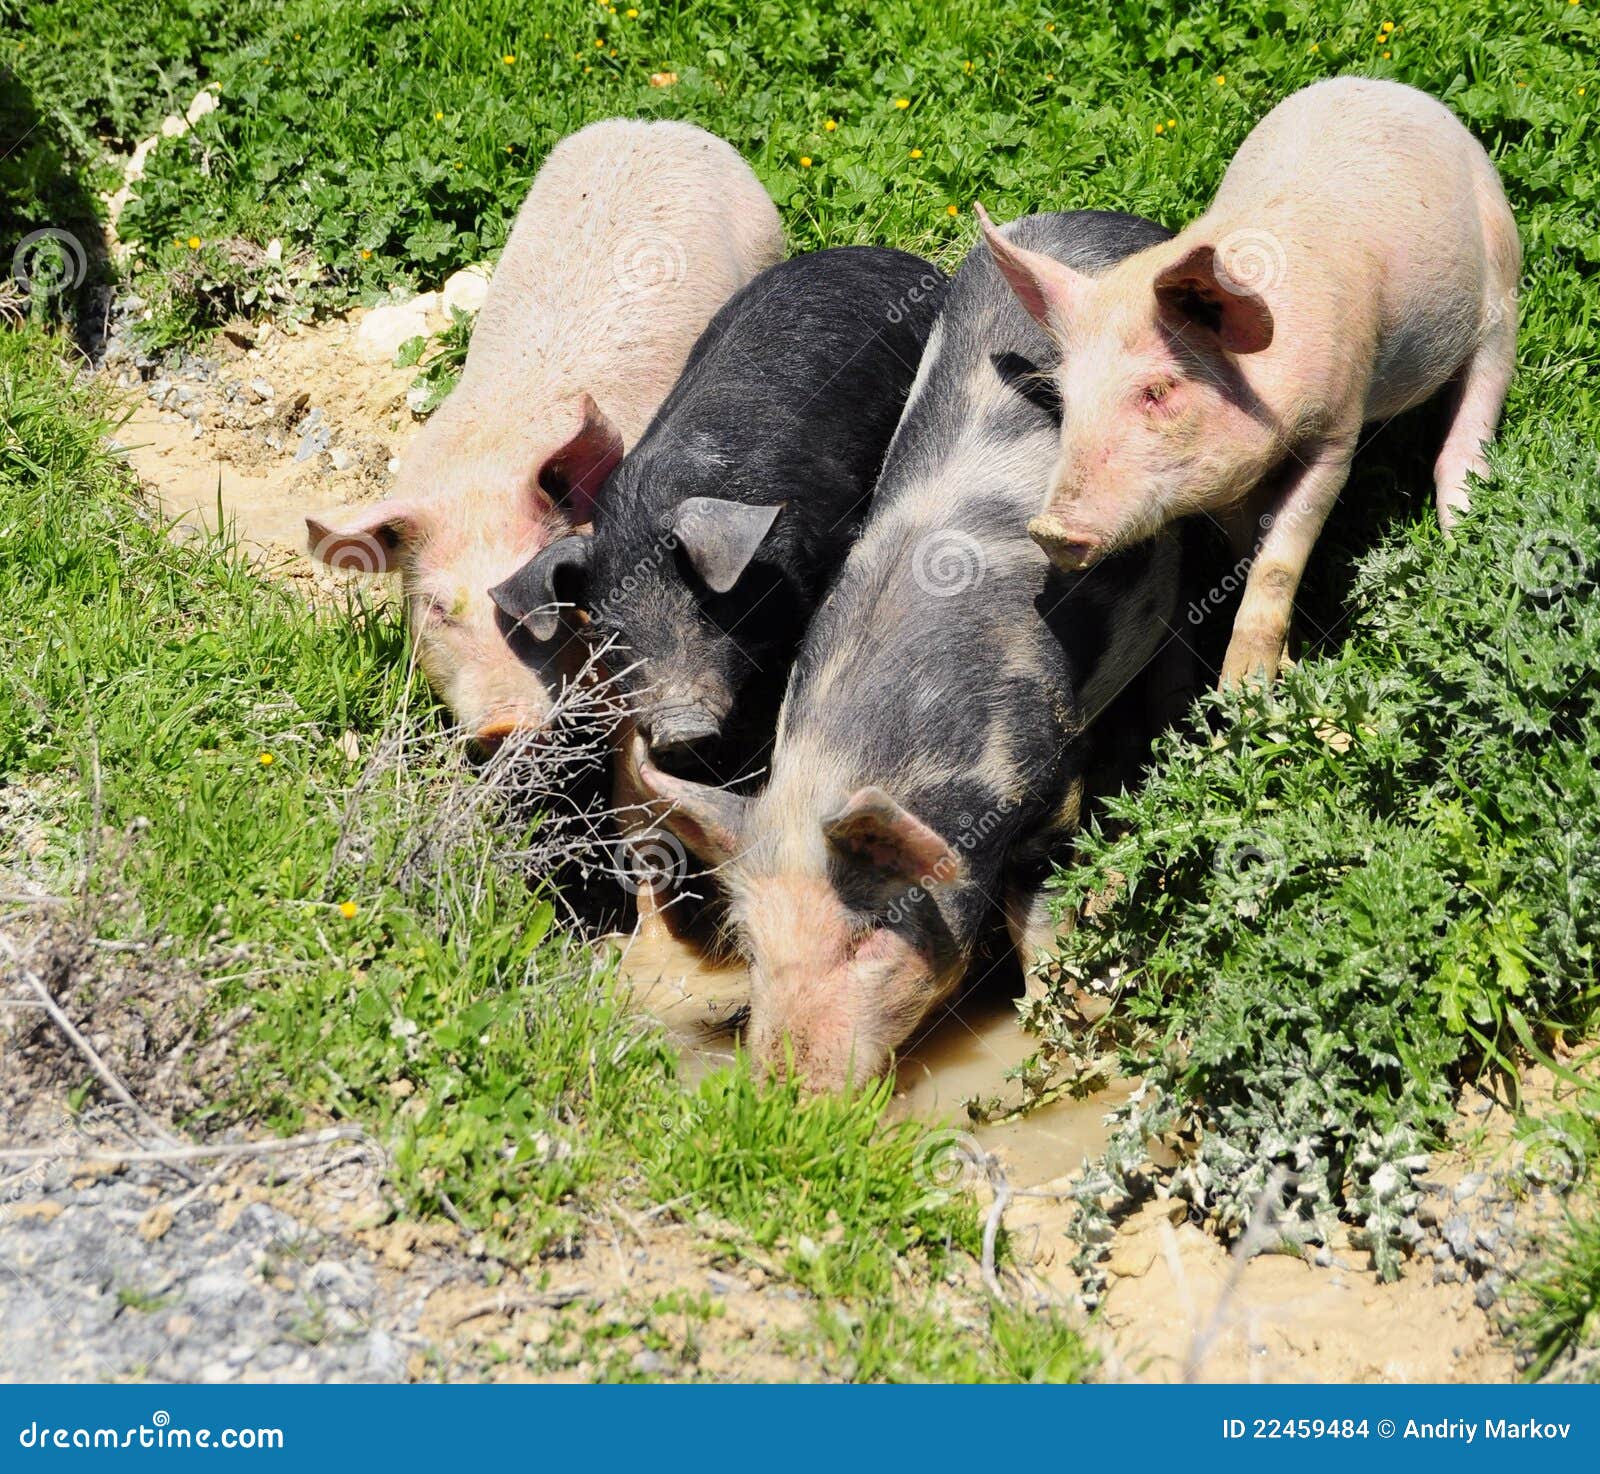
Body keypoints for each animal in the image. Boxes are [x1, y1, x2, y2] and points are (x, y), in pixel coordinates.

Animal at [630, 211, 1182, 1089]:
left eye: (866, 935)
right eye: (753, 948)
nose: (784, 1094)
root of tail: (1093, 221)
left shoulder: (1052, 784)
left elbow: (1040, 918)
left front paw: (1064, 1036)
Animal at [977, 77, 1520, 686]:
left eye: (1158, 391)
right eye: (1068, 401)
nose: (1048, 528)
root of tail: (1393, 87)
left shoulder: (1340, 424)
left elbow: (1279, 559)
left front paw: (1245, 689)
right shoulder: (1223, 477)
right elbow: (1249, 548)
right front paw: (1285, 663)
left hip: (1504, 282)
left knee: (1468, 435)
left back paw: (1462, 545)